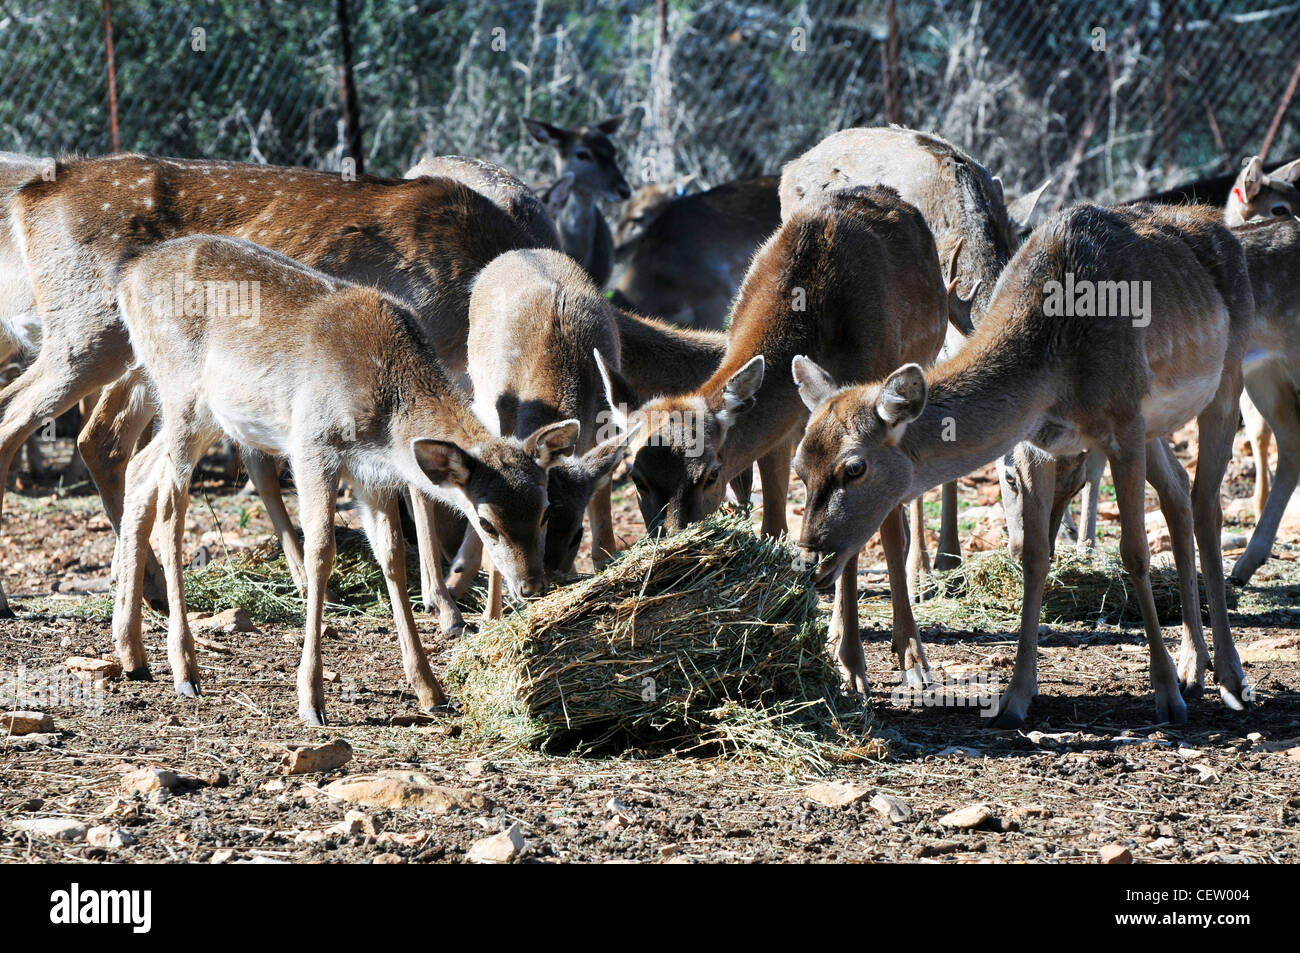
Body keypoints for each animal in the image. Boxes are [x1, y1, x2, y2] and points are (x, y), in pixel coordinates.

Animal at [0, 152, 548, 623]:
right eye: (488, 521)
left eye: (544, 512)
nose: (535, 585)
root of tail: (29, 197)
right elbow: (417, 486)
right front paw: (444, 605)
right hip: (86, 332)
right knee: (20, 416)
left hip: (139, 364)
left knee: (100, 440)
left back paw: (147, 591)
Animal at [111, 235, 577, 723]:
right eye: (486, 522)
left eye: (545, 511)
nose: (532, 585)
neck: (386, 412)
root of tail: (127, 274)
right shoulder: (312, 443)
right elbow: (319, 551)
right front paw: (311, 700)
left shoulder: (373, 475)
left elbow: (392, 555)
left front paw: (430, 690)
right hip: (181, 395)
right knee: (171, 506)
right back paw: (184, 669)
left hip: (205, 417)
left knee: (139, 471)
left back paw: (132, 654)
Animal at [455, 249, 638, 619]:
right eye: (491, 524)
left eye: (576, 534)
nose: (544, 585)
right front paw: (491, 618)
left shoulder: (604, 435)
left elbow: (603, 533)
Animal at [790, 201, 1254, 726]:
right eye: (801, 468)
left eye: (854, 467)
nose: (809, 558)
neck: (1056, 361)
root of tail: (1219, 223)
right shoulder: (1039, 442)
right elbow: (1034, 555)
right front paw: (1016, 697)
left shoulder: (1124, 420)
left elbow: (1134, 552)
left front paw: (1165, 693)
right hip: (1158, 422)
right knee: (1177, 491)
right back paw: (1195, 666)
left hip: (1227, 377)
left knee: (1207, 506)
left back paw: (1230, 676)